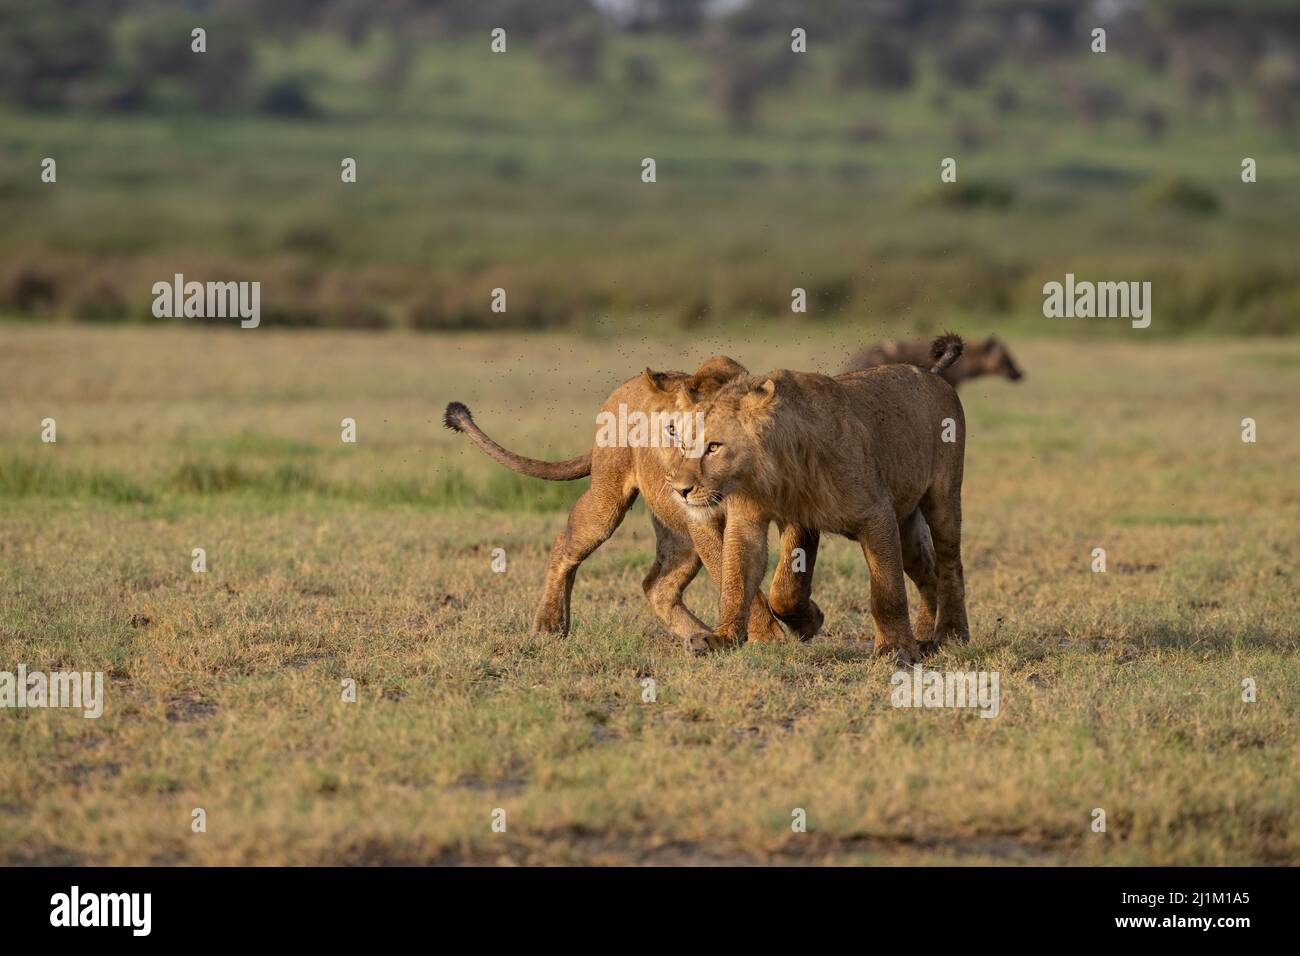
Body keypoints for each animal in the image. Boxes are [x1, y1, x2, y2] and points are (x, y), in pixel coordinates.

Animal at [444, 358, 824, 652]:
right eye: (672, 431)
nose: (679, 482)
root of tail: (621, 390)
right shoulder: (704, 522)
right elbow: (732, 572)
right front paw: (769, 636)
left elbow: (788, 580)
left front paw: (806, 621)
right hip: (608, 500)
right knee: (565, 544)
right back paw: (550, 627)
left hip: (679, 538)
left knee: (658, 587)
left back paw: (700, 635)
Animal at [663, 334, 970, 662]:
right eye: (683, 446)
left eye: (714, 447)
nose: (680, 490)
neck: (767, 475)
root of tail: (932, 373)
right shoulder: (754, 518)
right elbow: (742, 580)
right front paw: (722, 637)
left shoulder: (875, 513)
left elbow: (887, 588)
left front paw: (895, 647)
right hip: (907, 524)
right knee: (928, 573)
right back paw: (924, 637)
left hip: (943, 499)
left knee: (949, 564)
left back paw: (951, 634)